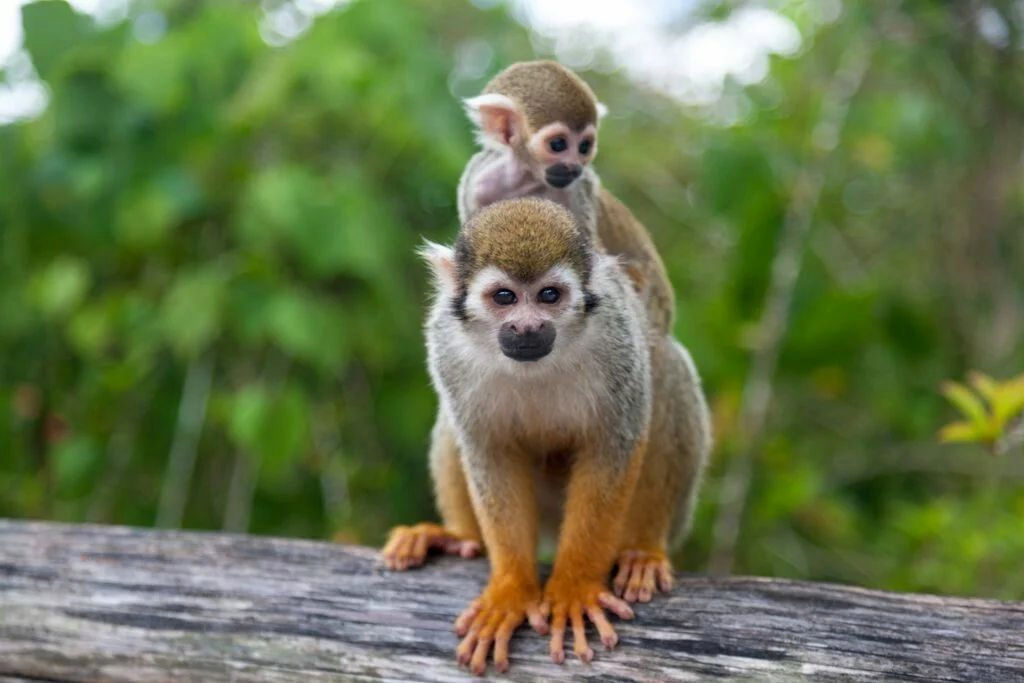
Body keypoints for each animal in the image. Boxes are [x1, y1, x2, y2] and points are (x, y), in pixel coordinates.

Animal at [381, 198, 710, 674]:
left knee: (663, 366)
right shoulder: (446, 343)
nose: (528, 328)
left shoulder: (616, 337)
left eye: (549, 296)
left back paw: (644, 552)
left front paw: (573, 588)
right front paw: (511, 591)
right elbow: (489, 452)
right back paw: (458, 536)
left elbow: (613, 445)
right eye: (504, 297)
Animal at [456, 60, 676, 335]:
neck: (527, 178)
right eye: (559, 144)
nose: (574, 167)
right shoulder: (477, 182)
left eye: (584, 147)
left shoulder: (577, 191)